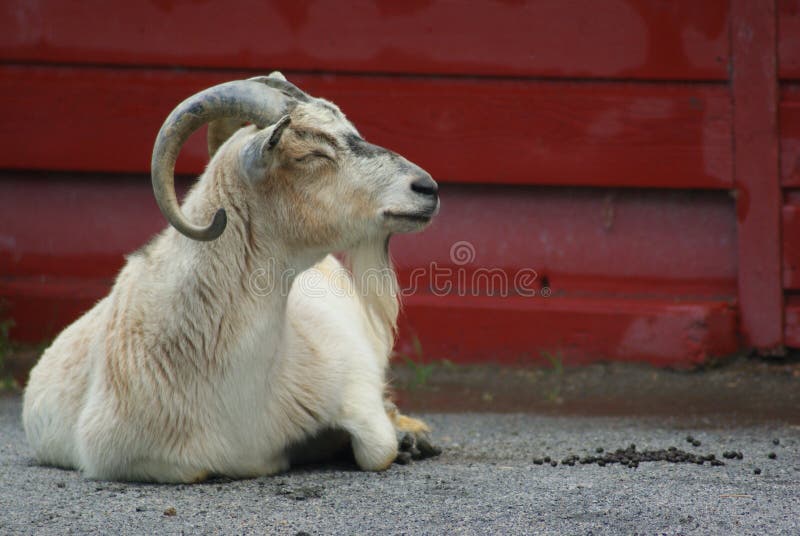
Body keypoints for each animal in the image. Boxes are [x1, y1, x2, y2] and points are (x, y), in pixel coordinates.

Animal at [22, 72, 440, 483]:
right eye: (312, 153)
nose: (427, 188)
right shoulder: (130, 458)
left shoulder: (352, 380)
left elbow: (378, 450)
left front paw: (404, 441)